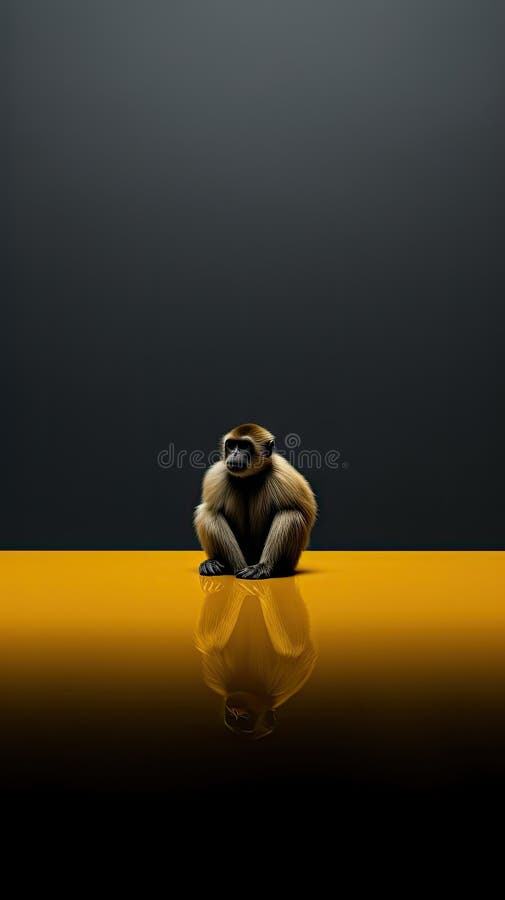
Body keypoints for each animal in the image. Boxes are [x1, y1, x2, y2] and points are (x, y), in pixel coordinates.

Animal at [194, 423, 317, 579]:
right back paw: (222, 565)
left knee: (290, 514)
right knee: (207, 512)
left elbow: (303, 512)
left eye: (244, 446)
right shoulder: (217, 474)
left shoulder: (283, 475)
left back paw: (267, 567)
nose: (235, 454)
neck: (249, 478)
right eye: (231, 445)